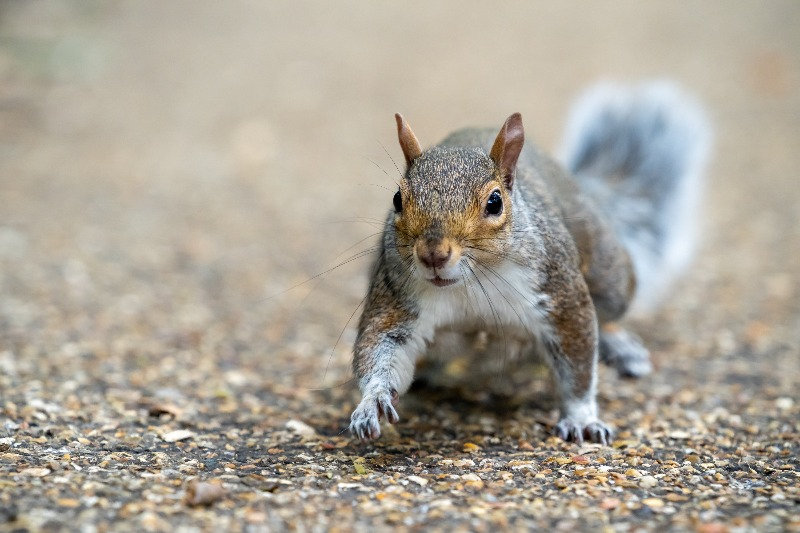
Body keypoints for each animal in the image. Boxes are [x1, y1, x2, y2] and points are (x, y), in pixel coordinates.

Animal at [348, 82, 710, 444]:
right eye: (397, 199)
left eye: (495, 202)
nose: (432, 255)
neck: (474, 280)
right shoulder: (398, 297)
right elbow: (381, 346)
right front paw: (371, 403)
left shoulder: (560, 293)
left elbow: (578, 365)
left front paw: (582, 419)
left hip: (610, 278)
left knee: (606, 314)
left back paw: (620, 346)